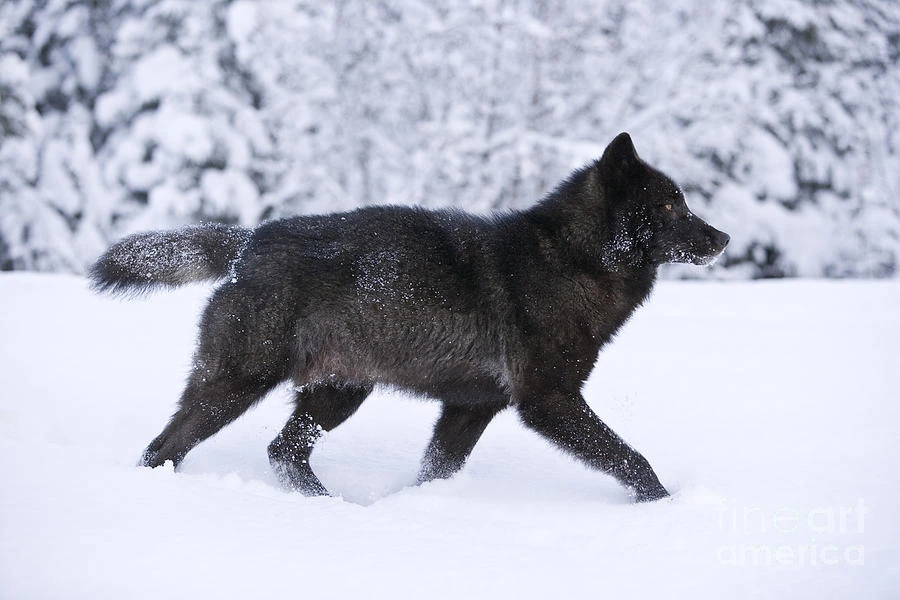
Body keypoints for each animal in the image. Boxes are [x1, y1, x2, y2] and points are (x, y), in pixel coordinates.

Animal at [91, 133, 729, 502]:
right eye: (671, 204)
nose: (723, 237)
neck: (574, 258)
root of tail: (252, 240)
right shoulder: (548, 401)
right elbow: (631, 457)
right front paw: (663, 506)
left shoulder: (470, 408)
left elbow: (436, 470)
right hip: (236, 385)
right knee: (165, 447)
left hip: (339, 395)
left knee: (283, 451)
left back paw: (328, 506)